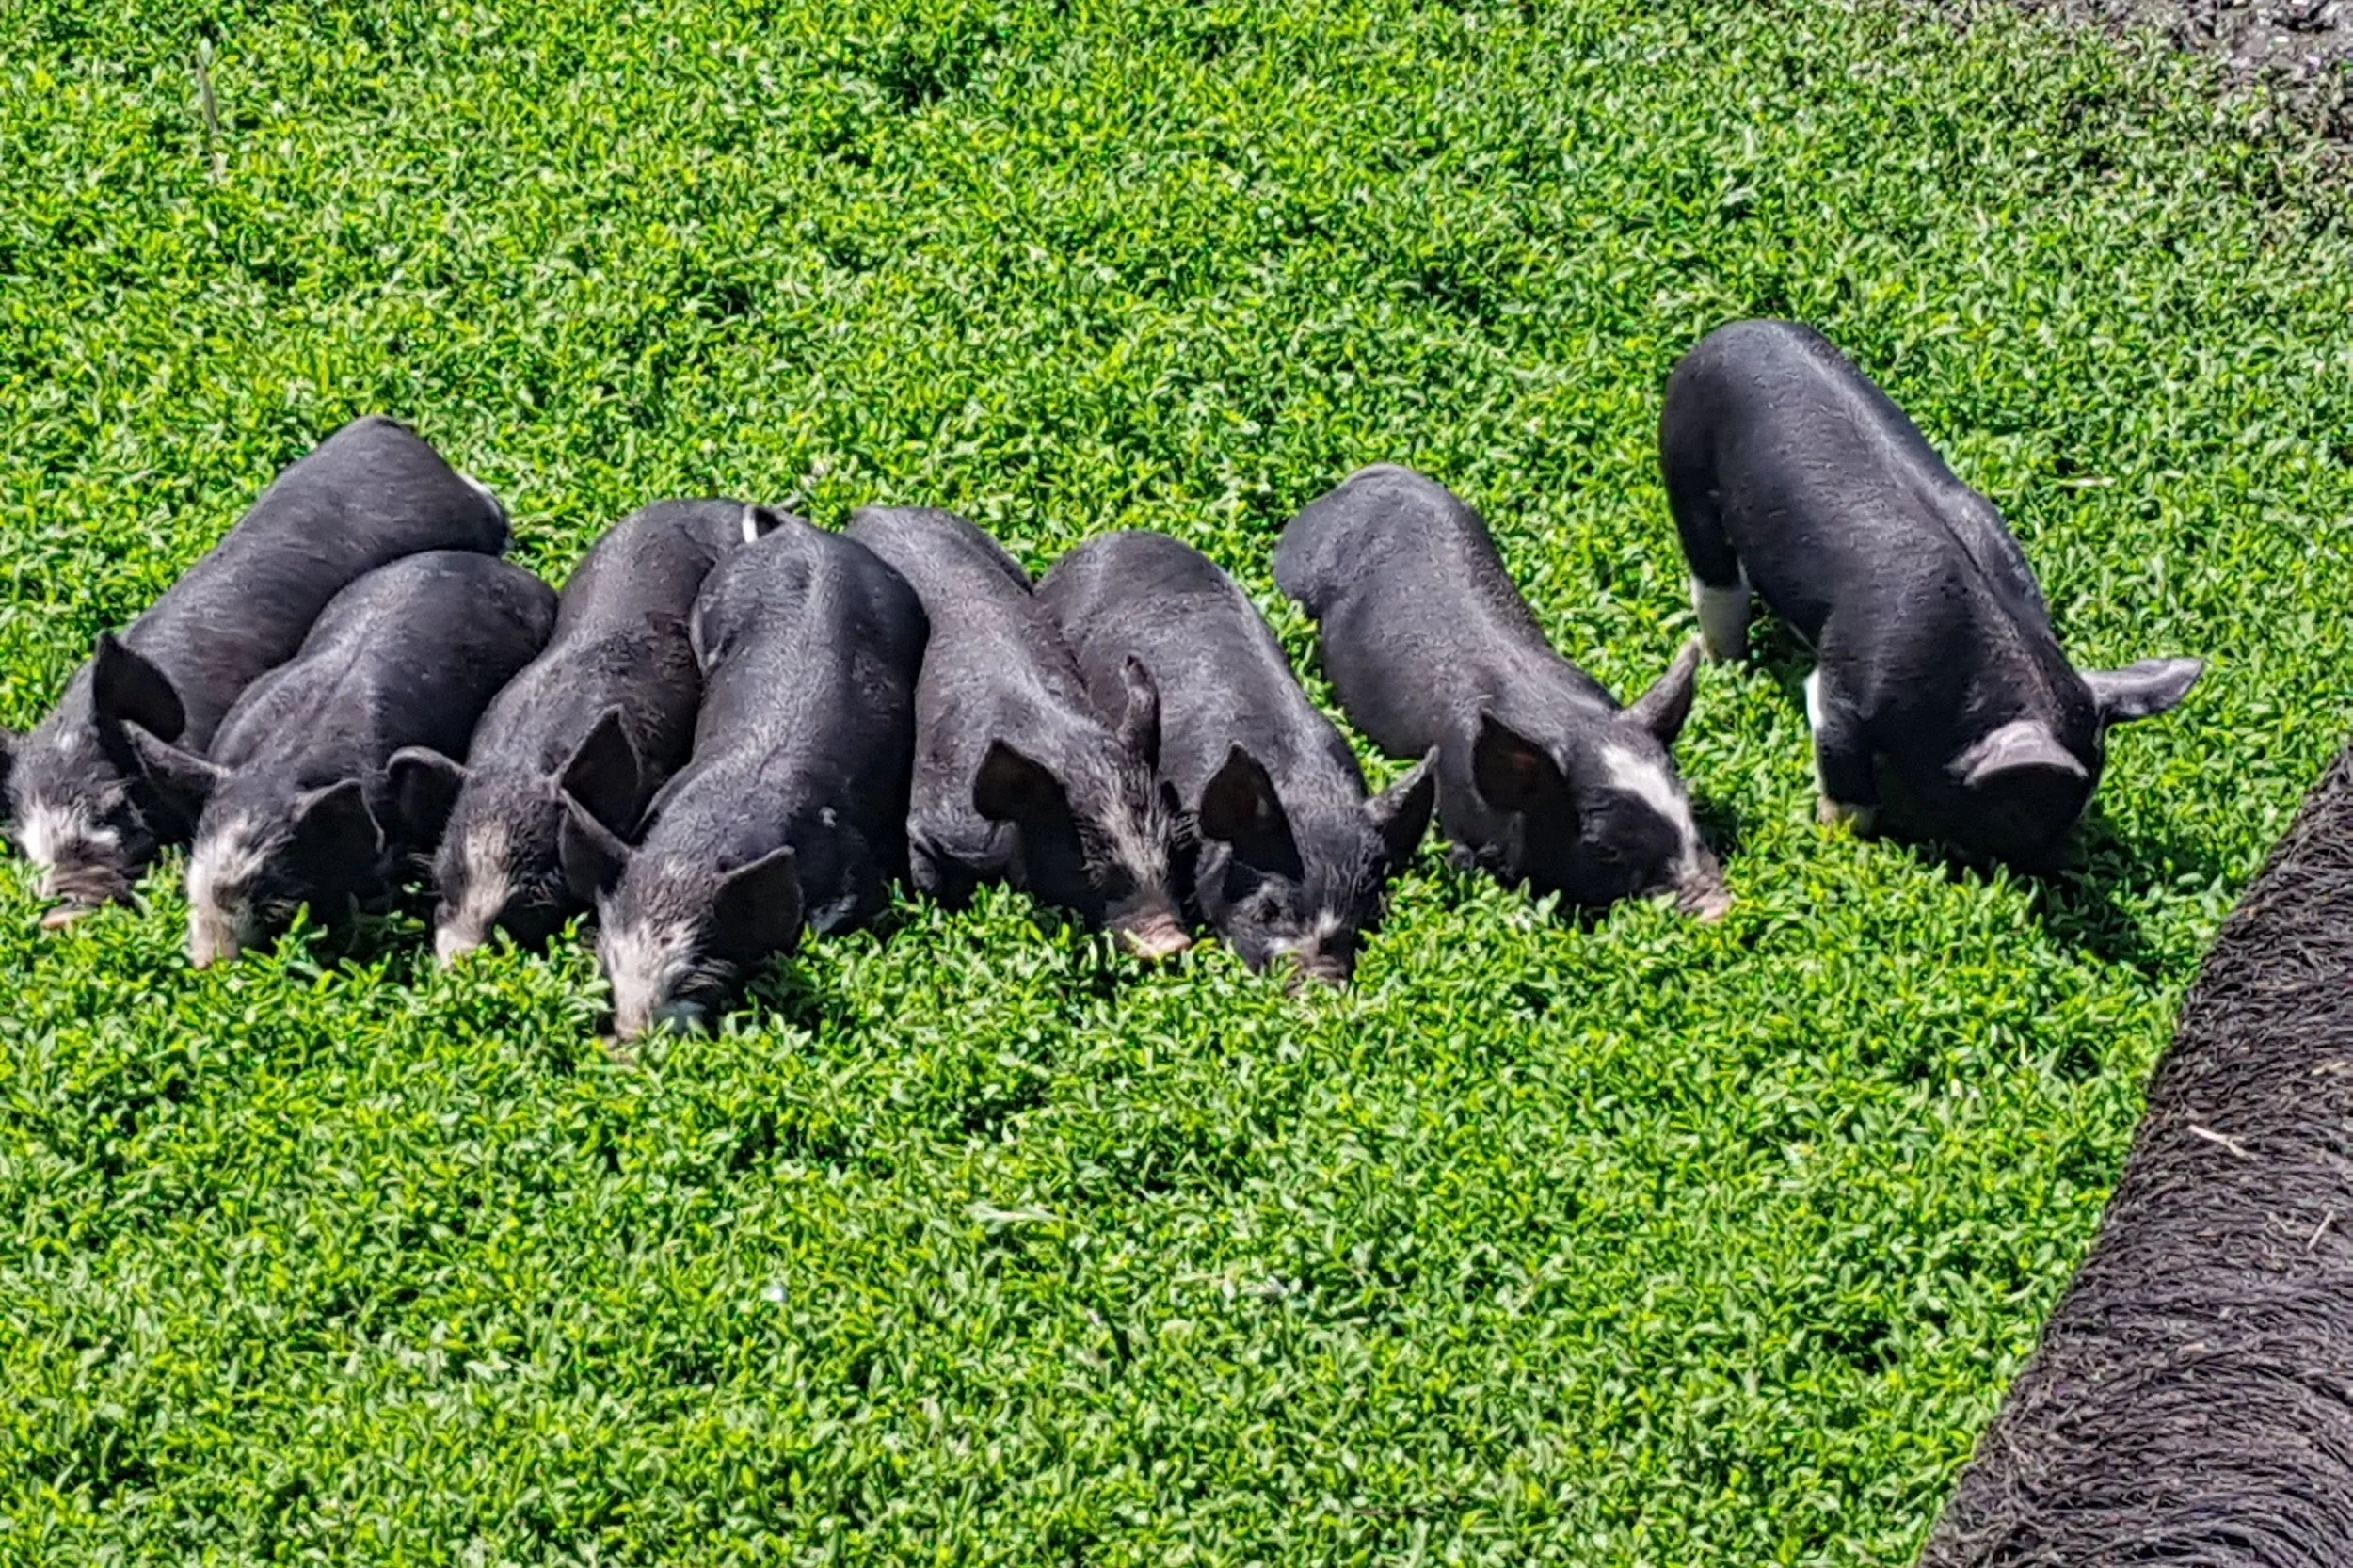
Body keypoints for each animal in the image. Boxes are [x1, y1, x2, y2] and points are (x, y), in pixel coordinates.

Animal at [842, 506, 1189, 959]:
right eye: (1087, 868)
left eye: (1170, 848)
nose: (1173, 941)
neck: (1062, 744)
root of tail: (874, 510)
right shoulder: (930, 824)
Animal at [1659, 318, 2203, 867]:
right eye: (2016, 810)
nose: (2040, 871)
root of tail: (1729, 333)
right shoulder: (1844, 689)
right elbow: (1843, 773)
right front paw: (1841, 842)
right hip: (1684, 467)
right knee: (1714, 578)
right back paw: (1727, 664)